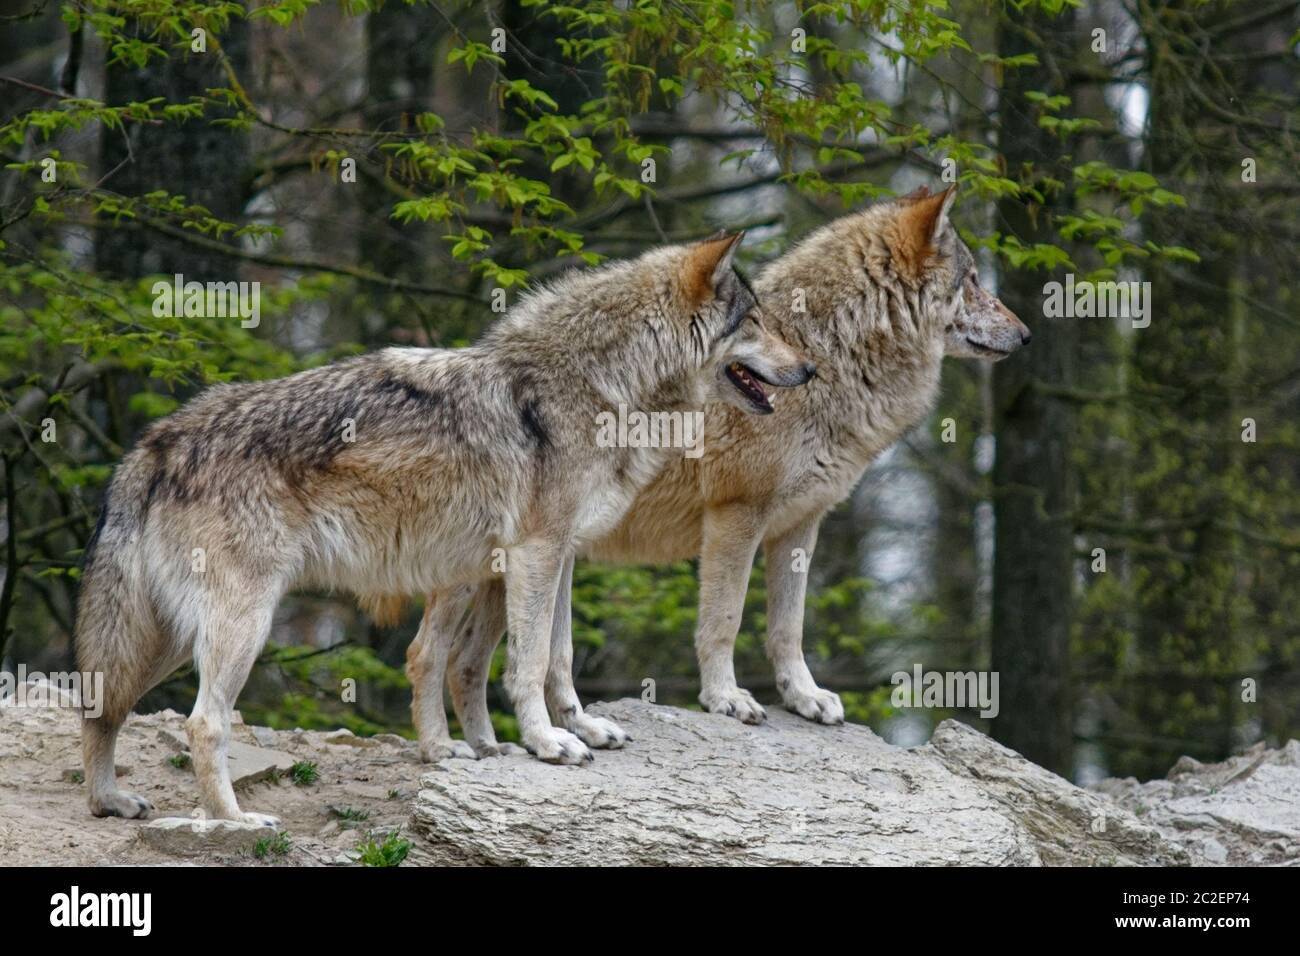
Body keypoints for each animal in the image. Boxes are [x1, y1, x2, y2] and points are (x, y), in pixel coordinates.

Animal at [76, 233, 814, 823]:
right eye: (755, 320)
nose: (809, 369)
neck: (606, 385)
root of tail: (157, 441)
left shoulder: (562, 555)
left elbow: (560, 659)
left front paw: (582, 728)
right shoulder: (536, 553)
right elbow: (530, 662)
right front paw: (547, 744)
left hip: (171, 637)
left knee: (102, 706)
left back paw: (108, 801)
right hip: (240, 627)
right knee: (203, 723)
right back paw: (234, 822)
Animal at [406, 185, 1030, 758]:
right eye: (975, 280)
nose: (1026, 334)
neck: (831, 352)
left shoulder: (801, 525)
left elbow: (787, 628)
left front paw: (803, 697)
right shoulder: (737, 515)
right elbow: (725, 620)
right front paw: (727, 699)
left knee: (467, 664)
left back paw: (493, 749)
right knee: (432, 656)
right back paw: (461, 750)